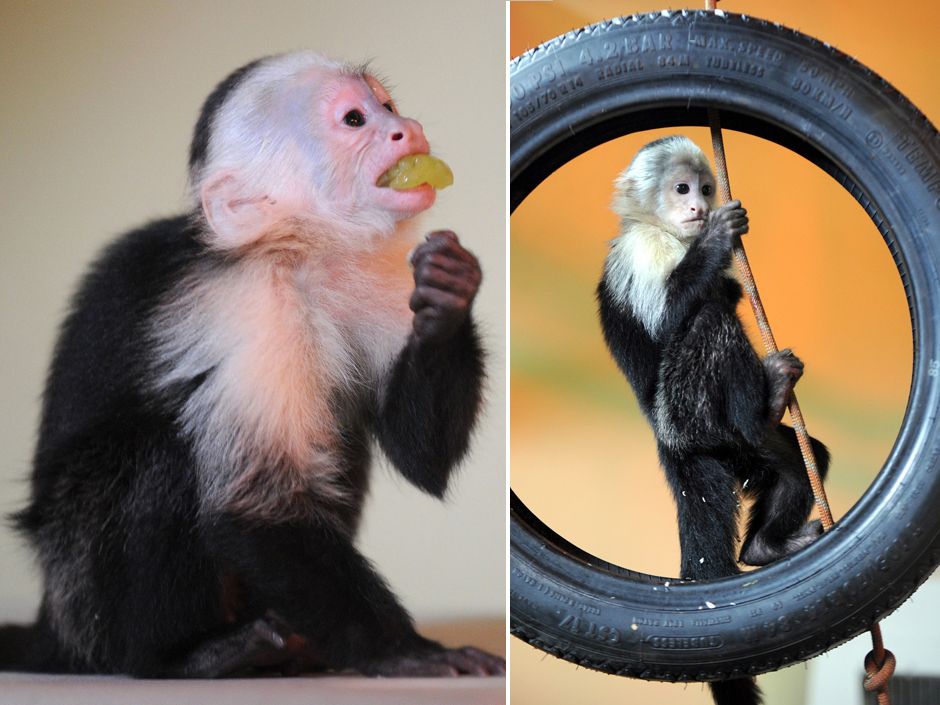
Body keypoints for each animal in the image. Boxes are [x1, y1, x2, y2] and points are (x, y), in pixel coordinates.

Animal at [0, 51, 504, 679]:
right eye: (355, 119)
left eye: (387, 105)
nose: (404, 128)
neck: (304, 251)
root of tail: (50, 623)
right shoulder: (249, 304)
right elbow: (260, 505)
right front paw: (405, 650)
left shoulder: (385, 268)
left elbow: (420, 460)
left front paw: (447, 298)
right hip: (81, 595)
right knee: (159, 456)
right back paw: (186, 656)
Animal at [596, 136, 830, 705]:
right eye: (682, 189)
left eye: (705, 188)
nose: (699, 208)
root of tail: (673, 443)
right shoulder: (644, 251)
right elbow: (673, 315)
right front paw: (717, 241)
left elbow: (723, 294)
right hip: (689, 412)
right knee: (704, 322)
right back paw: (763, 403)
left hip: (733, 448)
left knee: (794, 463)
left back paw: (765, 544)